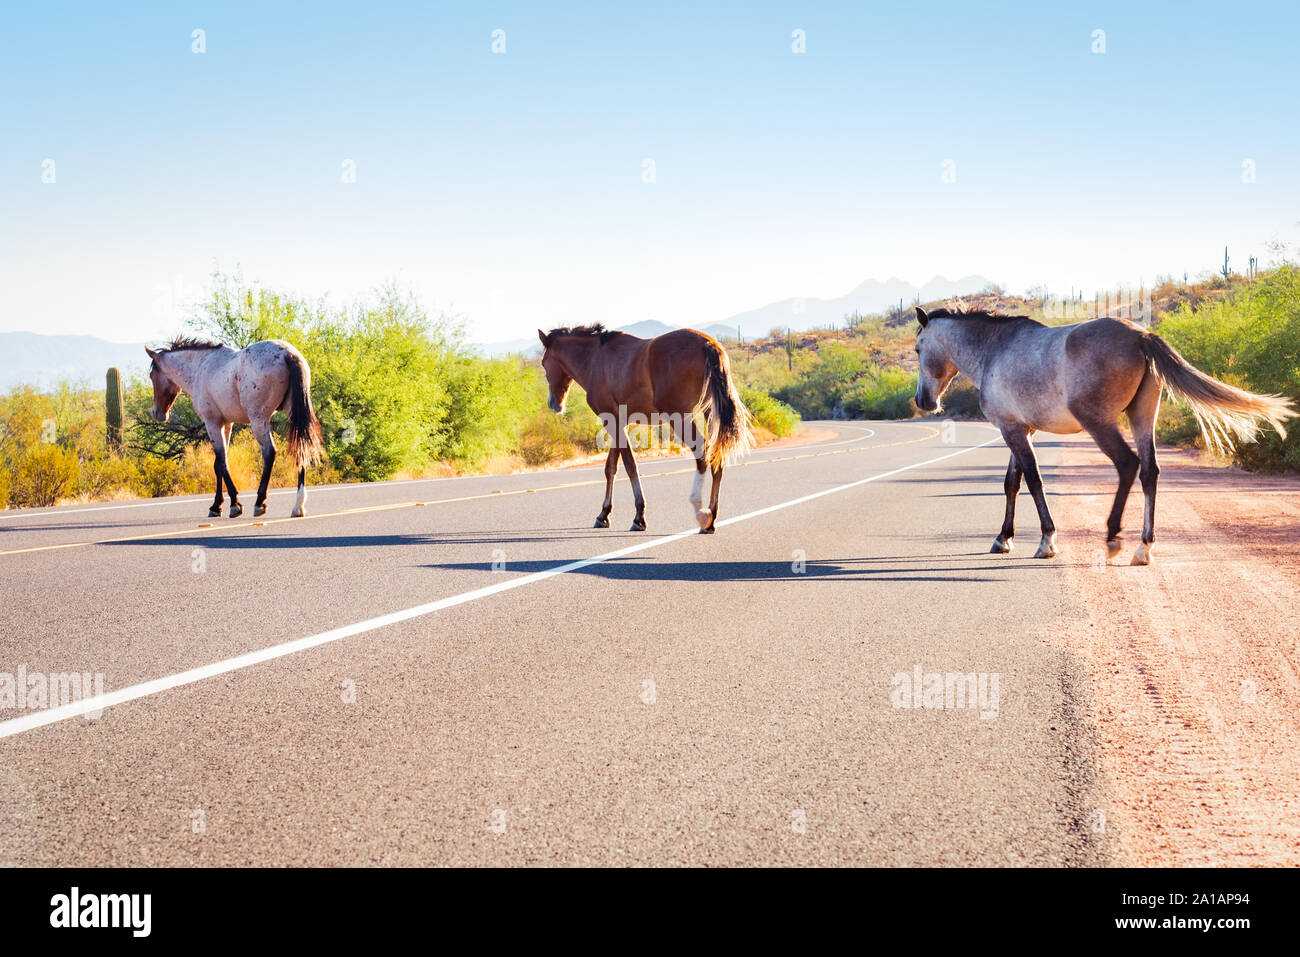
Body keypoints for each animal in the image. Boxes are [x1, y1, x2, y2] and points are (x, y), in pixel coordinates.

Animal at [145, 338, 324, 519]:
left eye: (152, 375)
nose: (157, 413)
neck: (200, 367)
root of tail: (288, 354)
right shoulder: (226, 424)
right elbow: (218, 464)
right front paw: (216, 506)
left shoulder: (212, 423)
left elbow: (222, 462)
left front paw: (234, 504)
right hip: (292, 413)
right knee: (301, 450)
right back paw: (298, 505)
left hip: (258, 420)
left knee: (269, 453)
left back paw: (260, 502)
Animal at [537, 324, 753, 533]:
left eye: (543, 363)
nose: (554, 404)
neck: (595, 359)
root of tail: (708, 344)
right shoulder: (618, 422)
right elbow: (611, 468)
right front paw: (604, 514)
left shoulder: (612, 421)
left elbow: (630, 466)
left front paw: (639, 517)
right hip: (709, 413)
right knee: (716, 456)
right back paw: (712, 516)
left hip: (680, 417)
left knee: (702, 454)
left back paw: (699, 510)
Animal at [912, 306, 1294, 565]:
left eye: (917, 349)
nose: (922, 401)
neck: (997, 349)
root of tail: (1141, 336)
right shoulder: (1021, 430)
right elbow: (1012, 483)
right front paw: (1002, 539)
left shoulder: (1013, 431)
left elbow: (1033, 481)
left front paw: (1046, 541)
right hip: (1142, 417)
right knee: (1149, 472)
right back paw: (1143, 547)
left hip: (1100, 423)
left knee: (1127, 465)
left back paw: (1113, 537)